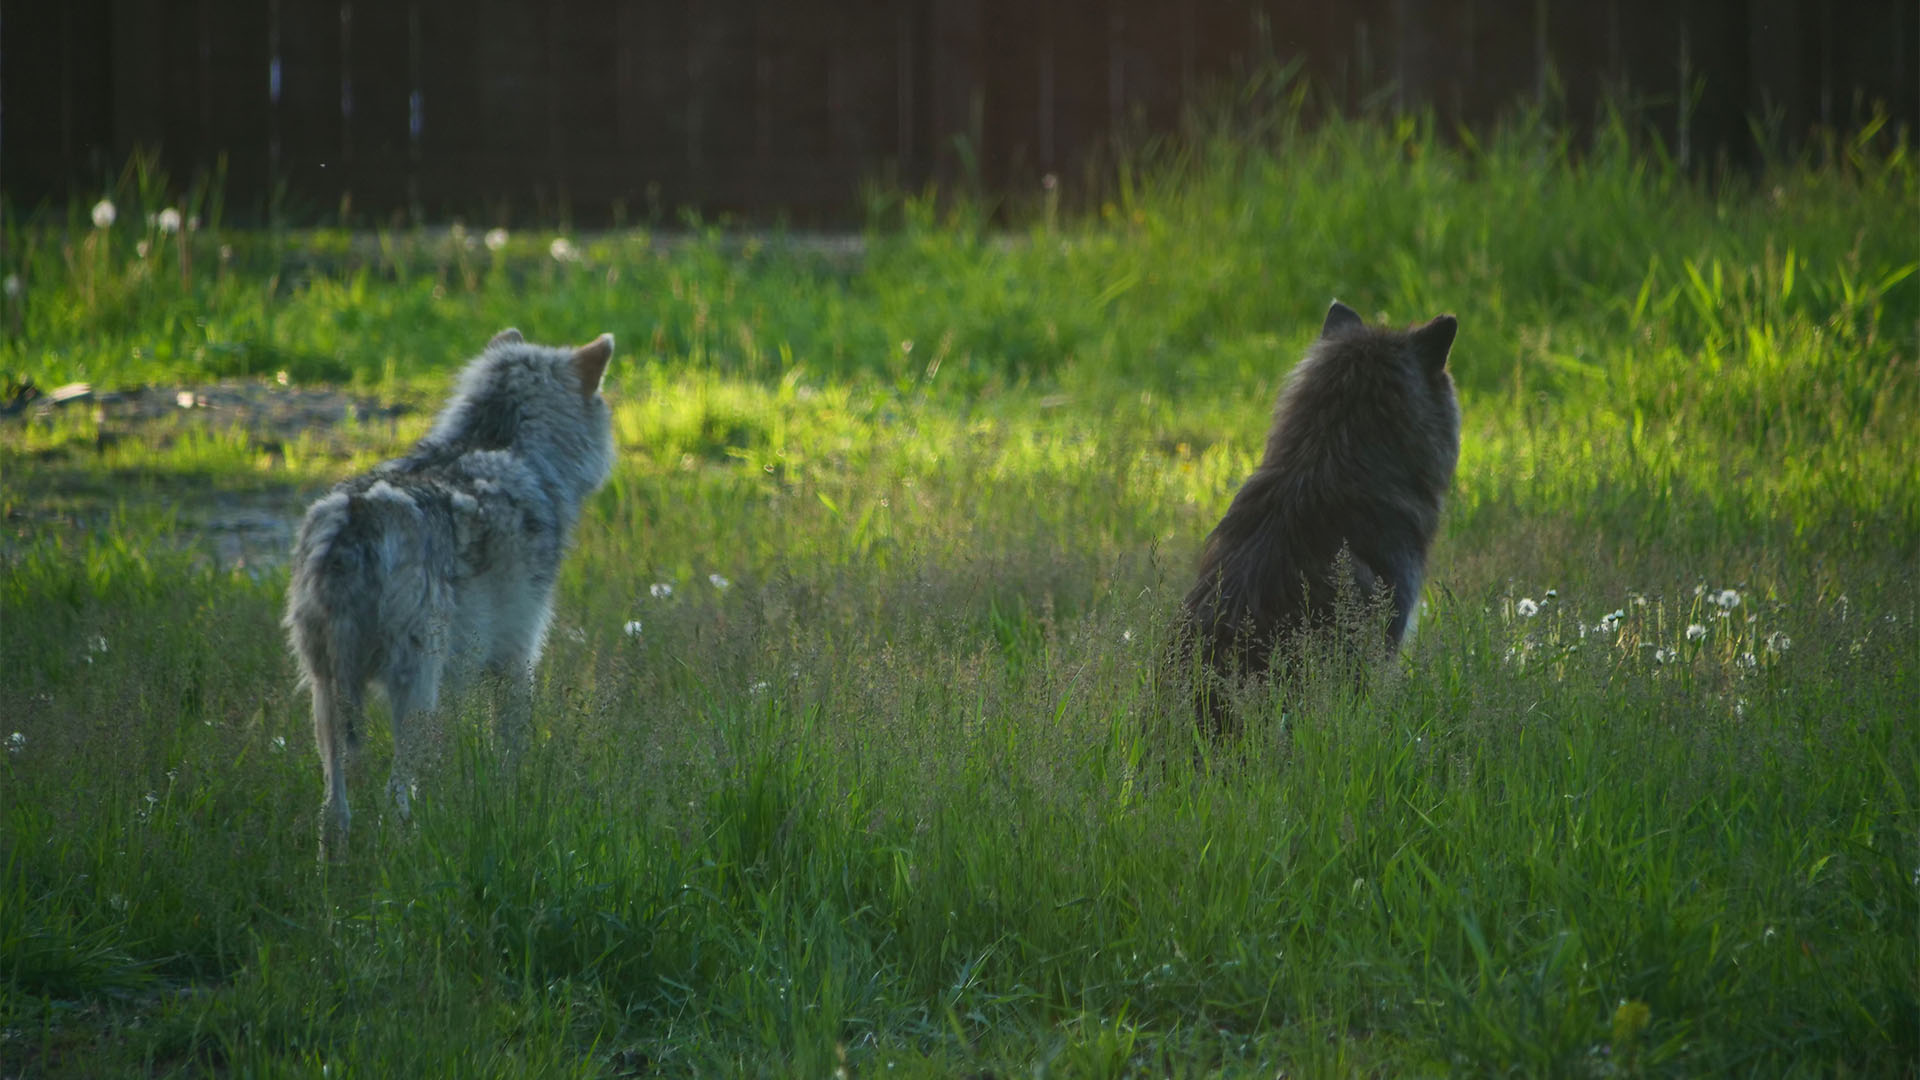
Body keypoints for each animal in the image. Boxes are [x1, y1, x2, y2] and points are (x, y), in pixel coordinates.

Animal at [285, 328, 617, 858]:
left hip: (327, 692)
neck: (505, 447)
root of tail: (352, 521)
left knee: (333, 810)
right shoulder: (516, 656)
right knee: (394, 793)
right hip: (417, 690)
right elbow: (511, 748)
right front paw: (513, 803)